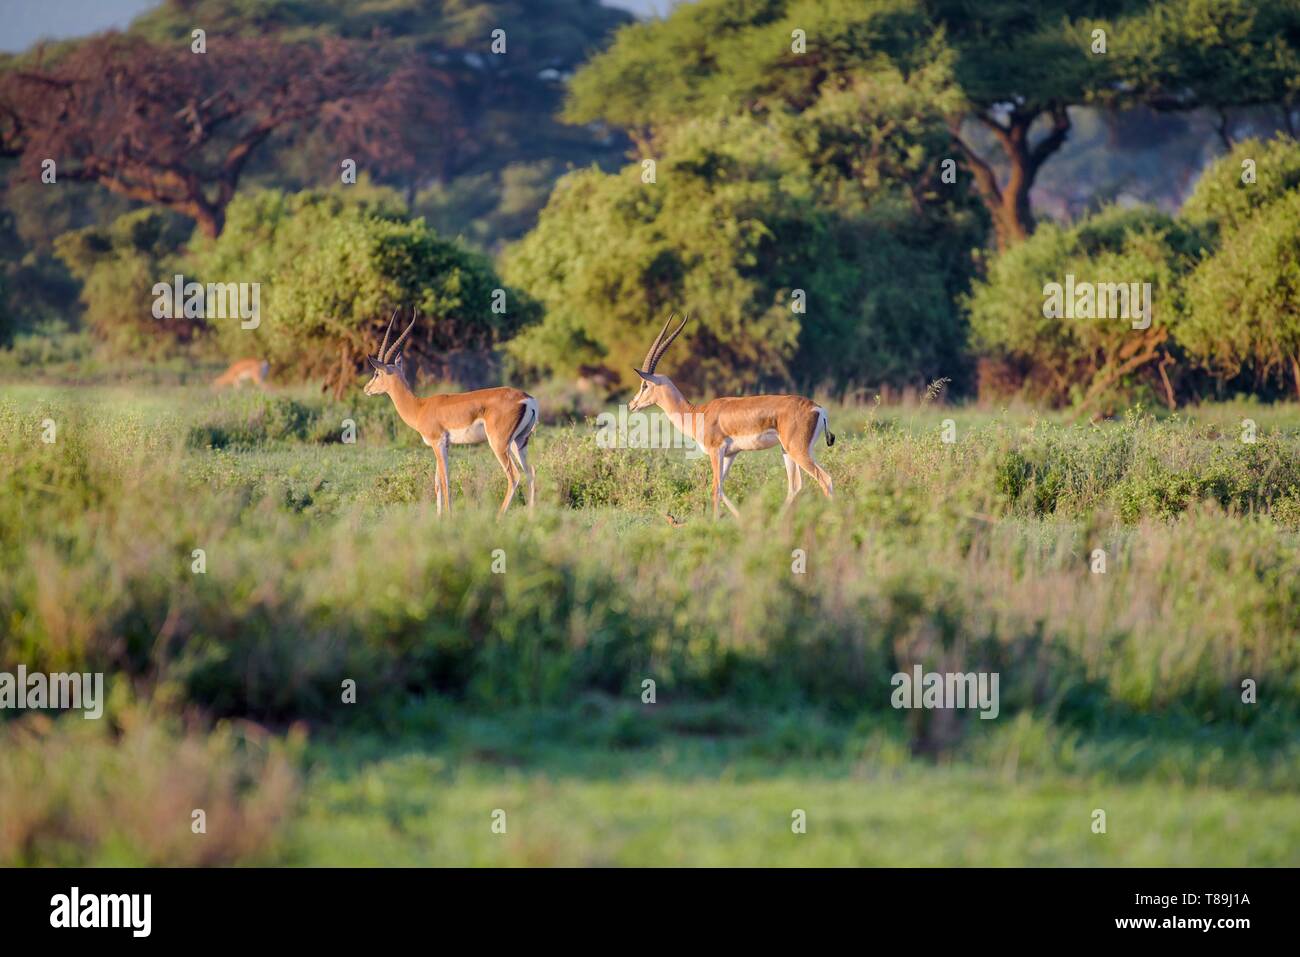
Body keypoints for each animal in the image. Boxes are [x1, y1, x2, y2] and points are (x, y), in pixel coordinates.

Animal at [364, 308, 538, 516]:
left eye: (376, 373)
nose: (366, 389)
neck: (420, 407)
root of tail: (527, 399)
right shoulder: (444, 445)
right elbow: (437, 482)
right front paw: (439, 517)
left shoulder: (438, 443)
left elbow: (445, 480)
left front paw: (448, 516)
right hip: (519, 442)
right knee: (531, 472)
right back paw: (531, 515)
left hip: (499, 443)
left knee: (514, 475)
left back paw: (499, 516)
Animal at [628, 313, 834, 519]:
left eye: (644, 385)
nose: (631, 405)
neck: (697, 413)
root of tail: (818, 409)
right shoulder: (730, 454)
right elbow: (722, 489)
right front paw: (739, 518)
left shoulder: (716, 451)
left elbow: (715, 488)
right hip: (789, 451)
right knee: (795, 486)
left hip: (797, 451)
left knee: (825, 479)